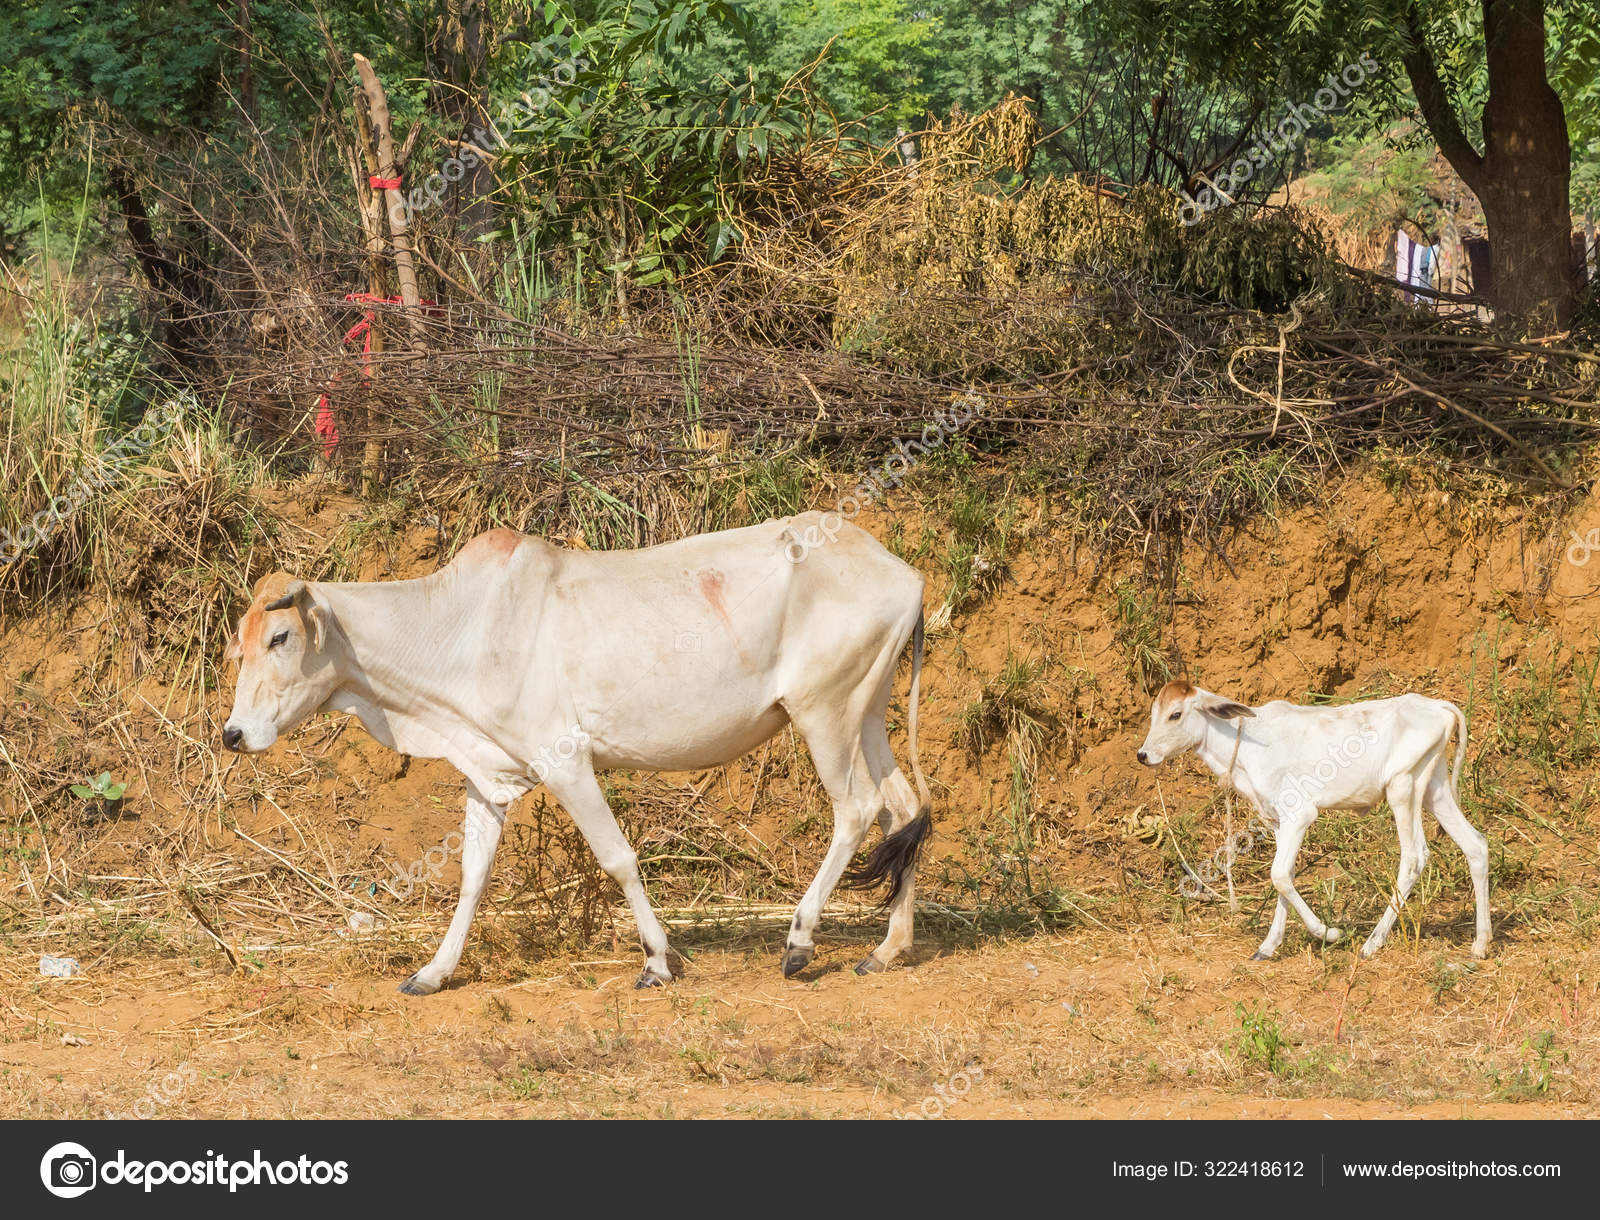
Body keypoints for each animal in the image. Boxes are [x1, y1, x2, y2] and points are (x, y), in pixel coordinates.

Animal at [222, 513, 932, 994]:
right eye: (241, 642)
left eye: (281, 637)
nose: (234, 733)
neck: (463, 626)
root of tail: (905, 575)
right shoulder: (487, 772)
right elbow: (473, 874)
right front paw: (433, 971)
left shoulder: (564, 762)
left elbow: (618, 858)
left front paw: (656, 961)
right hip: (867, 715)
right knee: (903, 810)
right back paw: (888, 949)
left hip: (824, 714)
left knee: (857, 810)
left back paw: (800, 940)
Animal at [1136, 681, 1491, 961]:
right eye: (1154, 713)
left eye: (1175, 714)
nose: (1143, 755)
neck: (1248, 742)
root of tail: (1437, 706)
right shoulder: (1278, 822)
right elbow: (1285, 875)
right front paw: (1268, 947)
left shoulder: (1299, 815)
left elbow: (1279, 875)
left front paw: (1329, 933)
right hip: (1435, 789)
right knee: (1475, 845)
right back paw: (1481, 943)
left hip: (1403, 788)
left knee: (1414, 857)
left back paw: (1373, 943)